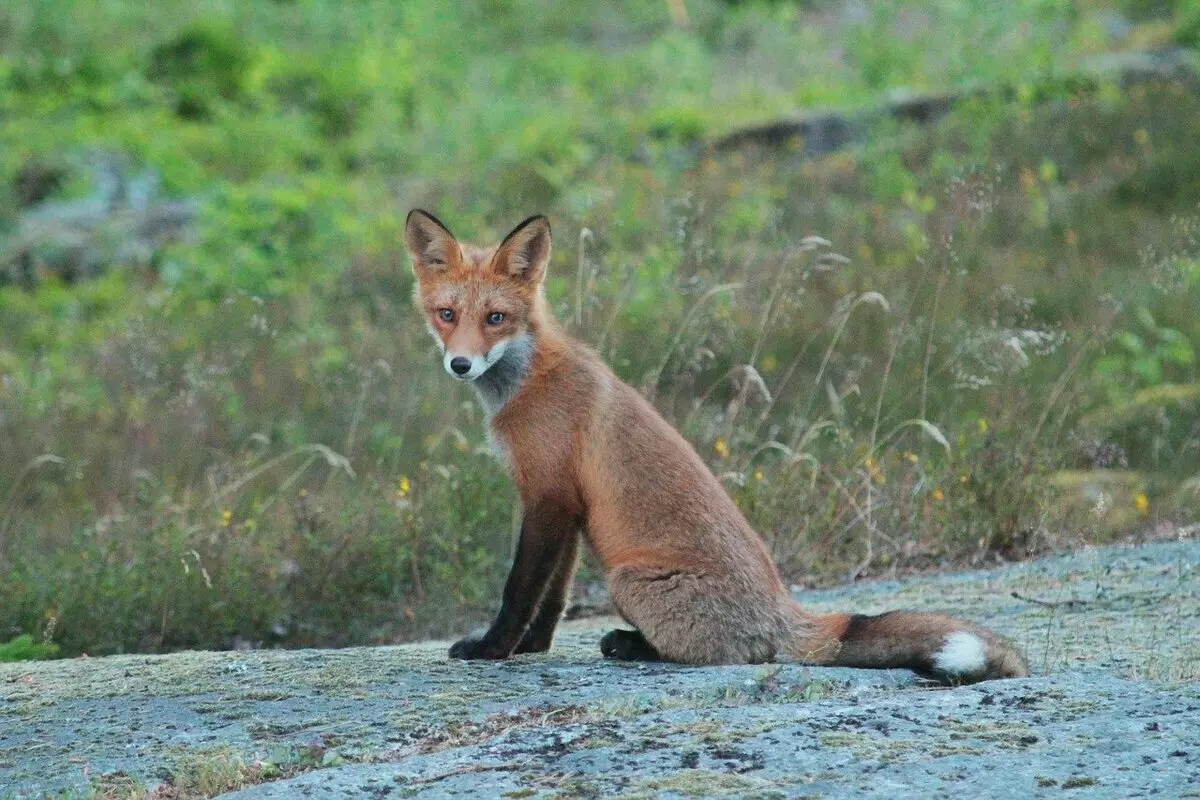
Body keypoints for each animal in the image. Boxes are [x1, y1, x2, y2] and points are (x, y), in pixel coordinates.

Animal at [405, 209, 1032, 686]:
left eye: (496, 318)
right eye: (447, 315)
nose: (460, 364)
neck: (529, 382)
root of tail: (785, 614)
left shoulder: (548, 496)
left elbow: (519, 589)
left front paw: (493, 649)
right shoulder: (568, 504)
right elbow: (554, 594)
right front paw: (533, 647)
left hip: (627, 580)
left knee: (728, 655)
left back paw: (630, 645)